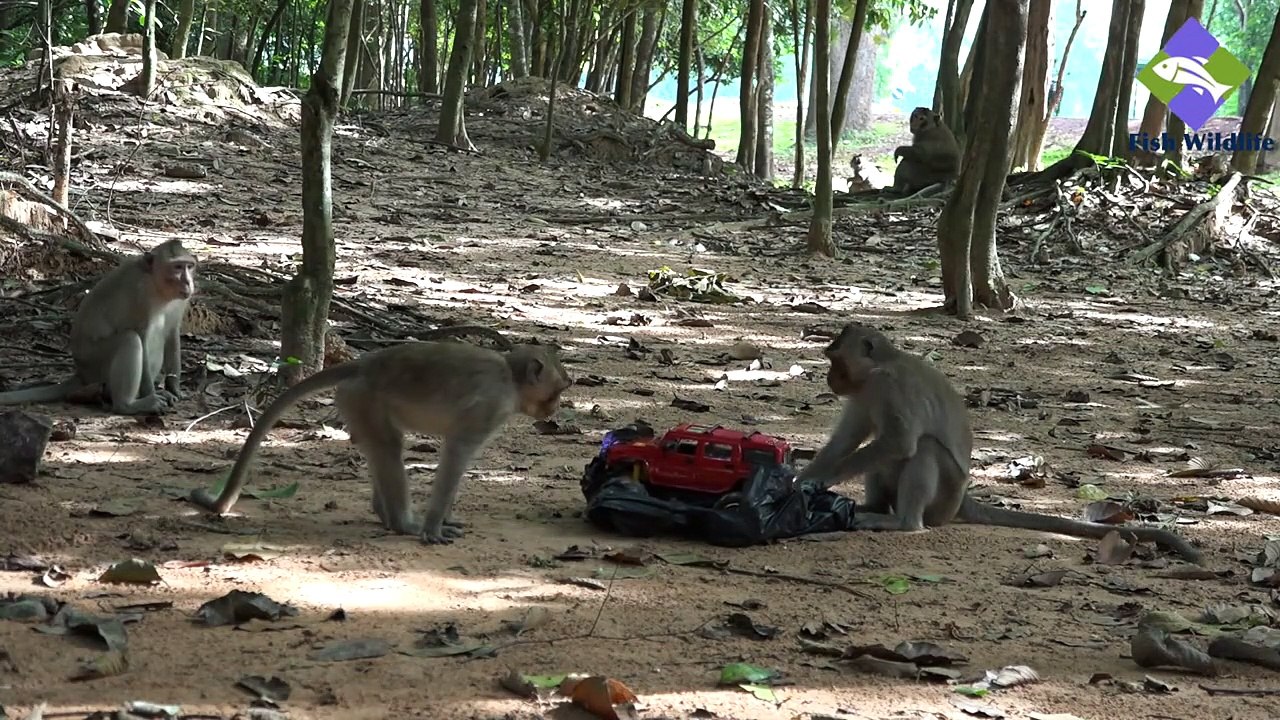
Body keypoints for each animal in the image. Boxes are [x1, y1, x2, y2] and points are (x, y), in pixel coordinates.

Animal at [0, 239, 196, 415]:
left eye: (189, 266)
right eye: (178, 267)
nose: (188, 282)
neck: (156, 284)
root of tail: (81, 374)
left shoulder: (180, 301)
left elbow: (171, 332)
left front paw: (174, 388)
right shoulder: (140, 295)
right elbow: (140, 333)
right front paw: (152, 394)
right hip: (95, 363)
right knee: (130, 339)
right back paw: (128, 405)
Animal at [188, 341, 573, 545]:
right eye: (559, 389)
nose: (555, 408)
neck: (511, 379)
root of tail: (363, 365)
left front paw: (447, 518)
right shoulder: (489, 407)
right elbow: (457, 452)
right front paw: (433, 527)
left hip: (355, 403)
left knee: (382, 445)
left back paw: (384, 514)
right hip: (364, 398)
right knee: (389, 446)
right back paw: (404, 523)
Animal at [794, 323, 1203, 564]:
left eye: (835, 360)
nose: (829, 379)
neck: (879, 369)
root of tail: (963, 502)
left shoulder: (890, 387)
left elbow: (899, 443)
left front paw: (818, 482)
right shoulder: (863, 394)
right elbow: (846, 442)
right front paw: (801, 481)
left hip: (944, 499)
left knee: (922, 448)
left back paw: (900, 523)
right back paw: (873, 507)